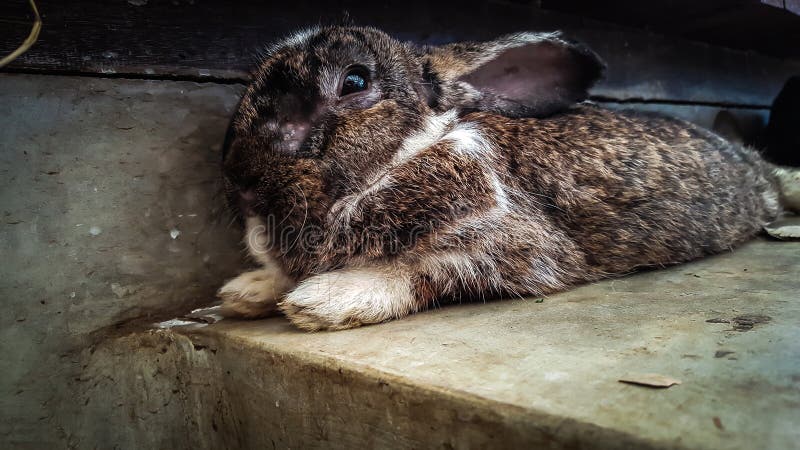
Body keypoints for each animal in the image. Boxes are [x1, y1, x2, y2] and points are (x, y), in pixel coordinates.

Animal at [217, 26, 799, 331]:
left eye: (354, 82)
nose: (240, 179)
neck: (402, 159)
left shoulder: (508, 249)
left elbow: (414, 274)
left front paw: (324, 302)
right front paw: (247, 292)